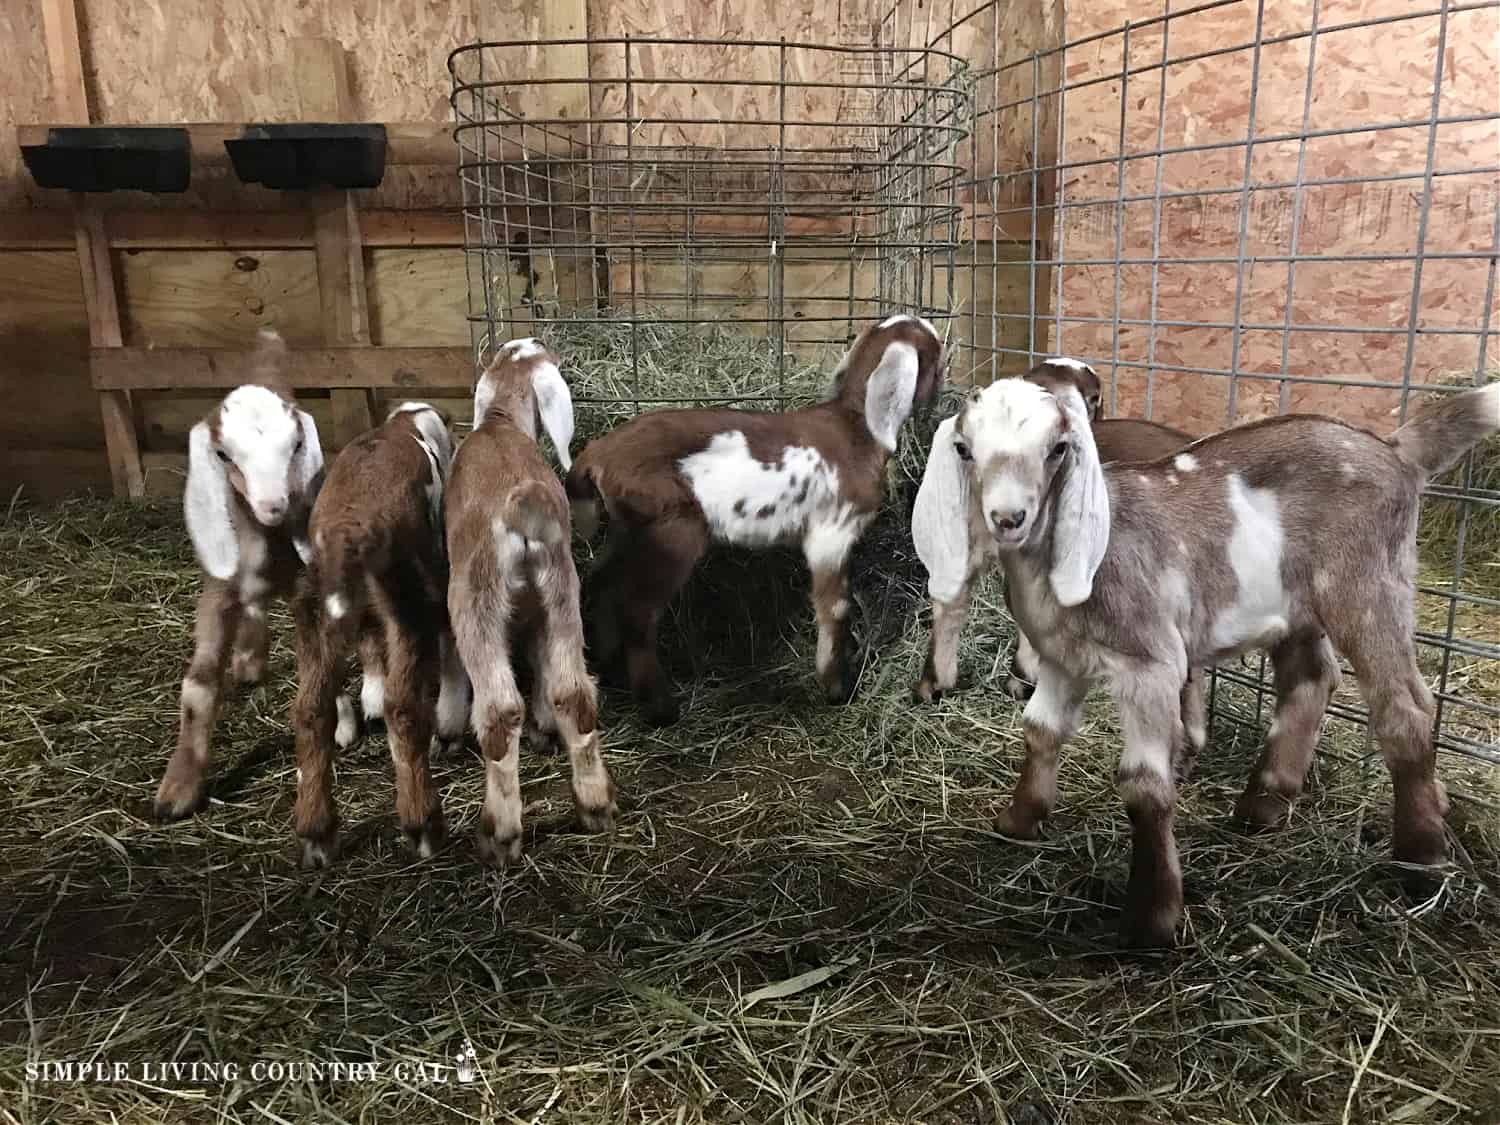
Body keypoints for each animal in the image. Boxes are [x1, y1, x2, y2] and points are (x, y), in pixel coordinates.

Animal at [154, 329, 334, 820]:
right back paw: (249, 659)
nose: (274, 507)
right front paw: (178, 787)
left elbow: (314, 685)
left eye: (296, 447)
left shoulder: (306, 591)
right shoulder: (217, 592)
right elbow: (197, 686)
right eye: (222, 454)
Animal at [288, 401, 467, 866]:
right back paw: (423, 825)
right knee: (403, 708)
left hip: (316, 615)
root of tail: (347, 535)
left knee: (311, 711)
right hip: (406, 605)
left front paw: (368, 695)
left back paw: (316, 833)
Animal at [446, 338, 617, 866]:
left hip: (475, 600)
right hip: (562, 588)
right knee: (574, 692)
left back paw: (499, 833)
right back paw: (595, 804)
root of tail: (520, 506)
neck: (500, 422)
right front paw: (546, 729)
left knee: (500, 710)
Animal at [567, 315, 945, 724]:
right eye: (936, 353)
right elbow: (835, 608)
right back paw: (660, 708)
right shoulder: (832, 533)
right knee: (638, 611)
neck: (856, 427)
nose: (944, 381)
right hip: (672, 529)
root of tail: (597, 454)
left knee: (601, 585)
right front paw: (835, 688)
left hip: (626, 530)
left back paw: (607, 672)